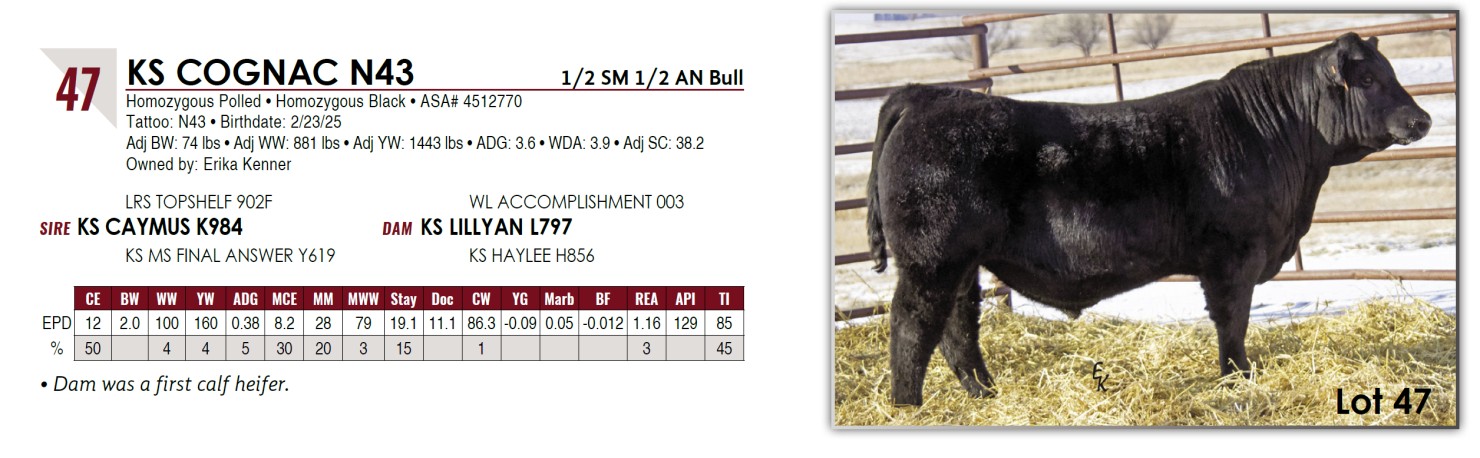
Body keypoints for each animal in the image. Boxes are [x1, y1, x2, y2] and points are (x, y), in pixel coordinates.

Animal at [867, 33, 1431, 406]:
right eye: (1369, 78)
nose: (1422, 119)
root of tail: (929, 95)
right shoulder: (1233, 257)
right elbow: (1233, 323)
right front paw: (1238, 380)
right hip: (933, 258)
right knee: (912, 324)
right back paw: (907, 406)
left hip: (961, 264)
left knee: (957, 329)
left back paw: (985, 394)